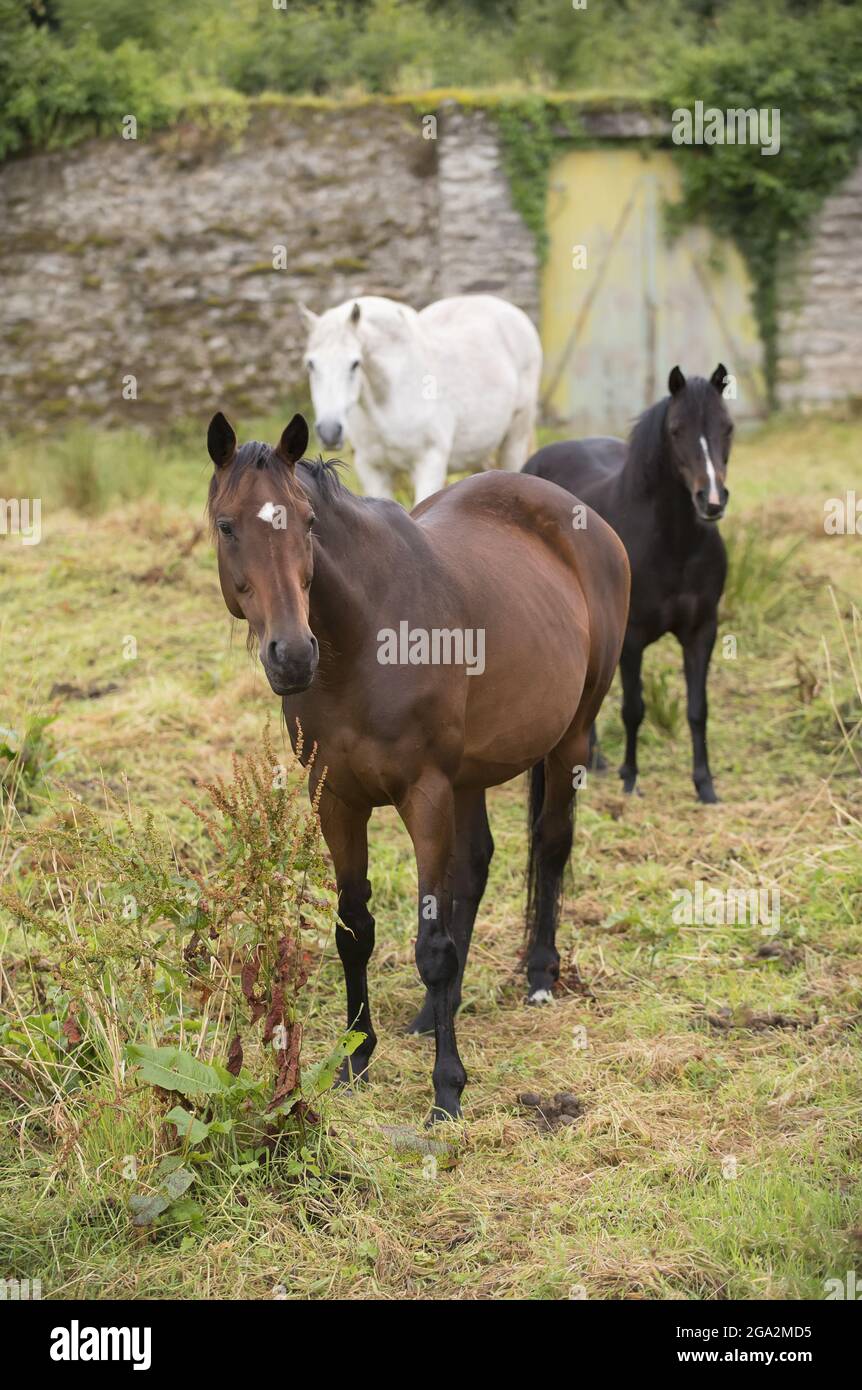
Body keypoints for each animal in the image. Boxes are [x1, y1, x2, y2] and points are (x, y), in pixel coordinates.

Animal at [206, 410, 629, 1120]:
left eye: (308, 522)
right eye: (226, 524)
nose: (292, 655)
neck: (362, 641)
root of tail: (585, 520)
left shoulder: (424, 793)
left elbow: (432, 945)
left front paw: (447, 1089)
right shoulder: (335, 798)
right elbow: (355, 931)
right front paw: (355, 1057)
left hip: (570, 737)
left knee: (550, 842)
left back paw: (540, 975)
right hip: (471, 776)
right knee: (476, 866)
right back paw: (436, 1012)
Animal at [298, 294, 542, 506]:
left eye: (355, 363)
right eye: (311, 364)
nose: (329, 431)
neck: (389, 398)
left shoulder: (429, 464)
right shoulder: (373, 469)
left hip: (515, 441)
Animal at [523, 365, 732, 805]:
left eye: (727, 427)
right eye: (676, 429)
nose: (711, 501)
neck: (674, 542)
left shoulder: (702, 631)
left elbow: (698, 709)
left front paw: (705, 785)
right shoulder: (633, 637)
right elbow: (633, 709)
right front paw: (631, 778)